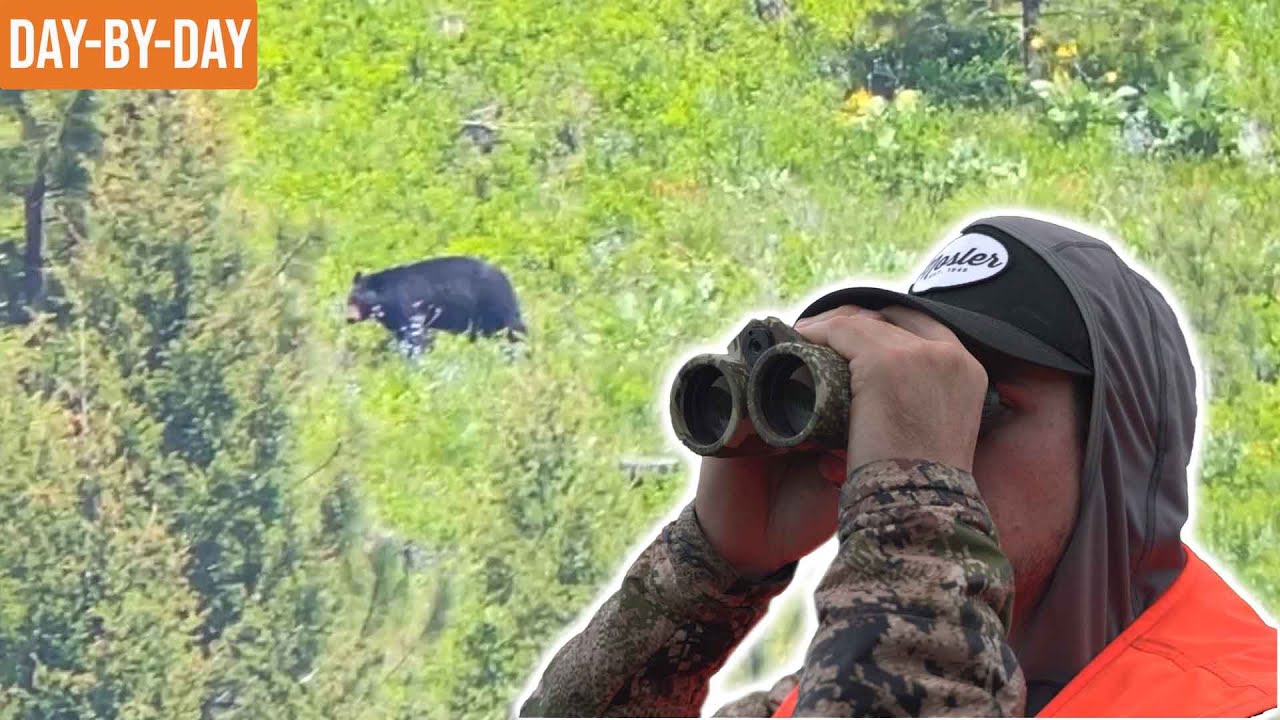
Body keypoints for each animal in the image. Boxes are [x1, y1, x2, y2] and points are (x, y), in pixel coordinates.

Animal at [346, 256, 527, 358]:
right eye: (349, 300)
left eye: (358, 300)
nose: (349, 318)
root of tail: (505, 277)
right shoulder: (393, 316)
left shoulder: (406, 303)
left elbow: (413, 335)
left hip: (494, 302)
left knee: (515, 328)